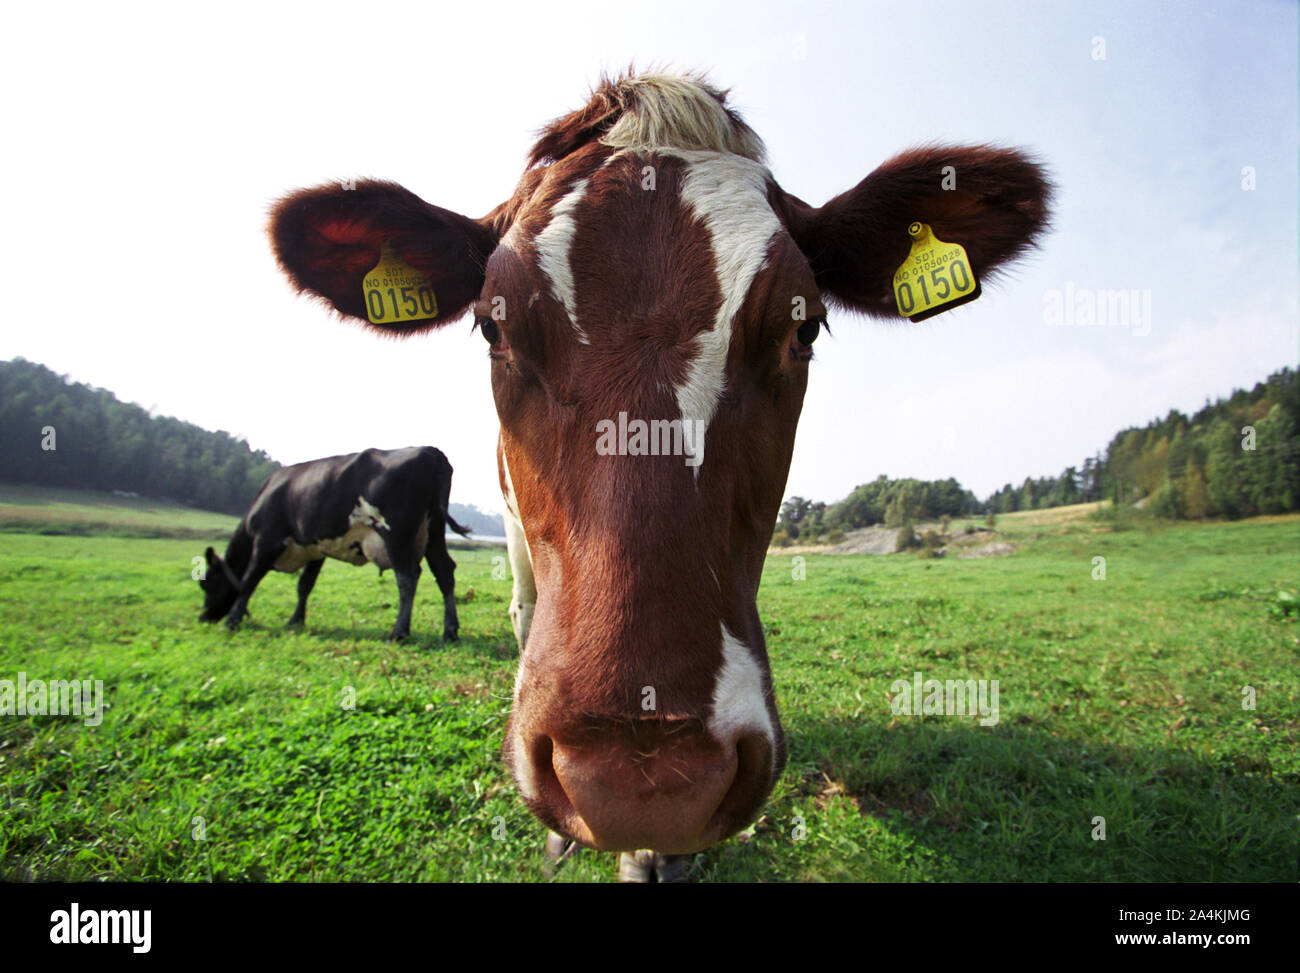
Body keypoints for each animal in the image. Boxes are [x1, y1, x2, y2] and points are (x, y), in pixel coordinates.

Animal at [198, 446, 469, 643]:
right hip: (433, 533)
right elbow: (304, 585)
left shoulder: (267, 540)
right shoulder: (315, 549)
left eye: (207, 582)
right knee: (444, 572)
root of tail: (430, 452)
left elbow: (248, 581)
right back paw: (450, 631)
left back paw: (398, 632)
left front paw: (232, 621)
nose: (203, 618)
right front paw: (296, 621)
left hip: (396, 534)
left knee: (407, 576)